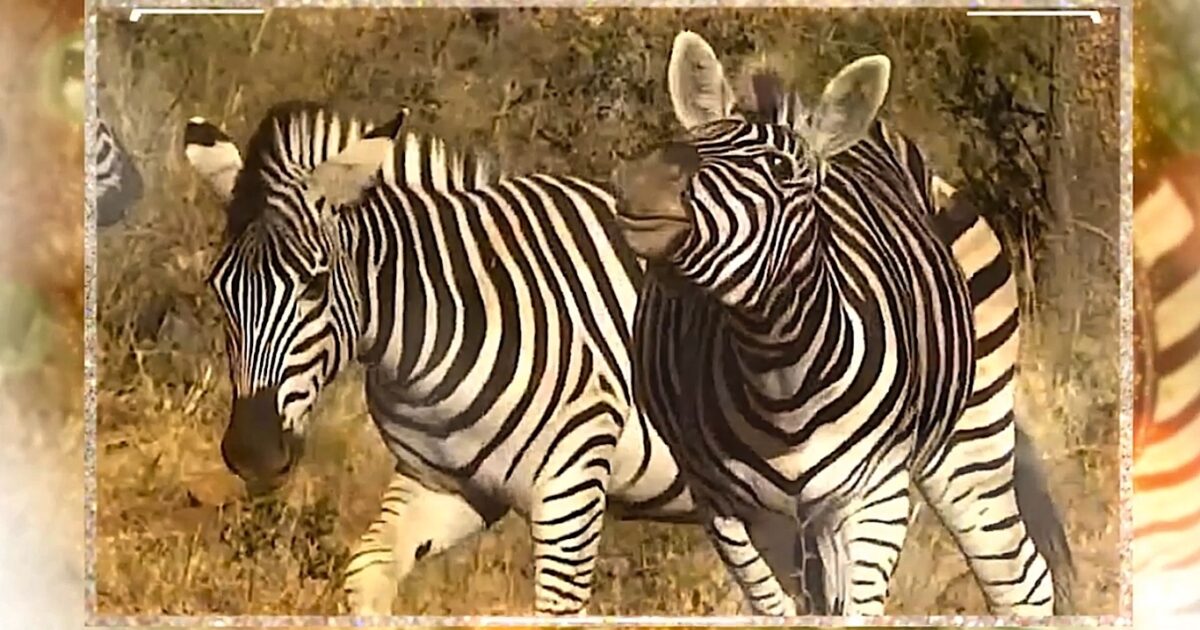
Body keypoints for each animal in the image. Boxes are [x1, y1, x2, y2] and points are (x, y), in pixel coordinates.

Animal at [182, 101, 697, 616]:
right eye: (219, 289)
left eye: (315, 285)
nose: (251, 452)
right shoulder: (444, 483)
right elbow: (369, 569)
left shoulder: (573, 481)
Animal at [611, 31, 1072, 616]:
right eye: (693, 140)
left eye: (781, 170)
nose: (644, 182)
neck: (779, 373)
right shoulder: (726, 506)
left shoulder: (876, 493)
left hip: (972, 432)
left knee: (1020, 578)